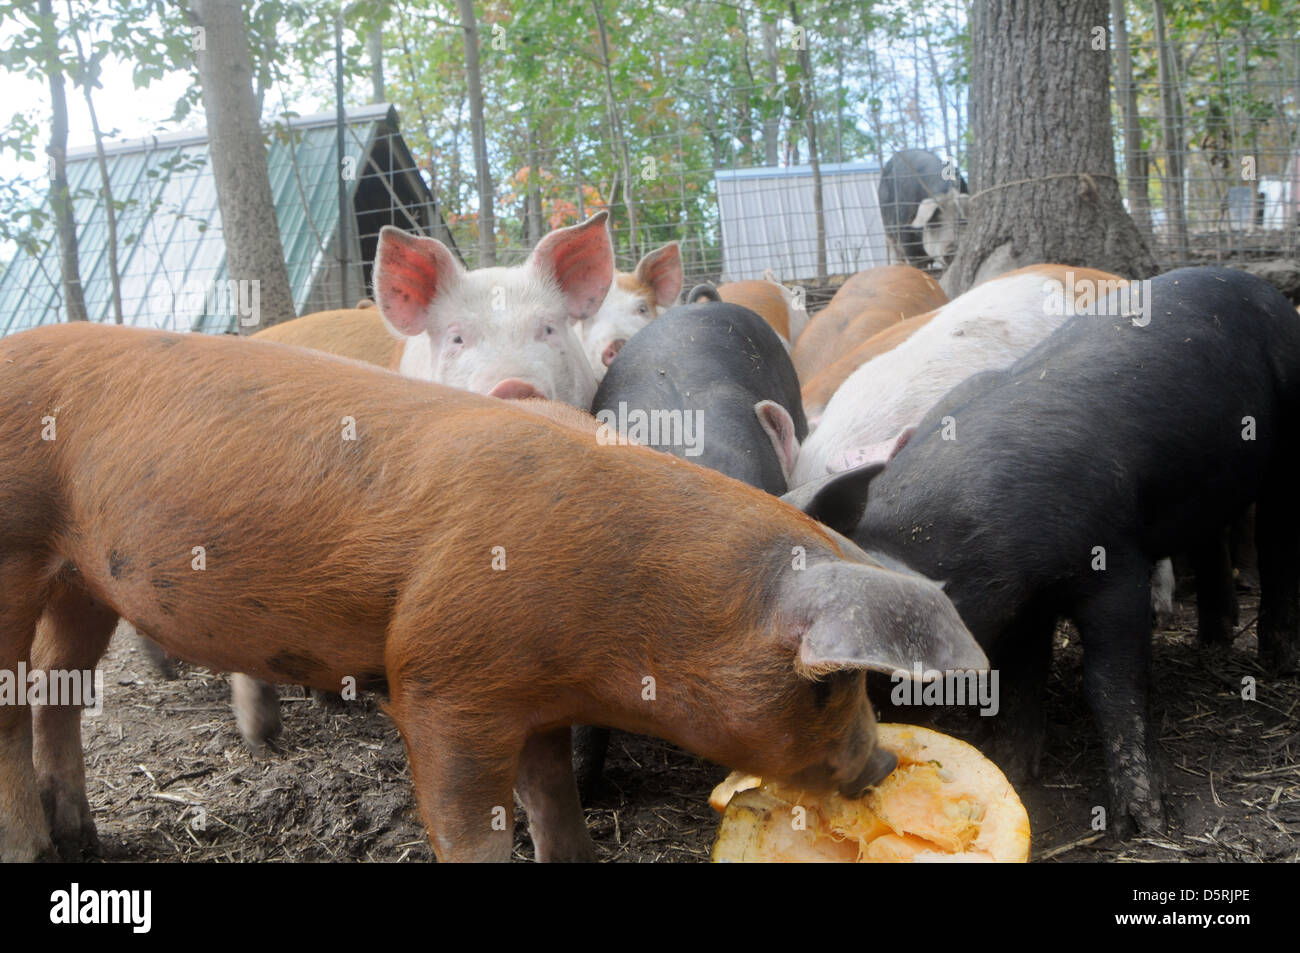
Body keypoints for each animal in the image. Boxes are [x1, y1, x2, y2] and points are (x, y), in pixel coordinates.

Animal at [0, 322, 984, 862]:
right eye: (830, 684)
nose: (882, 762)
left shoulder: (538, 696)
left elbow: (554, 801)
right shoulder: (444, 681)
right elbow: (470, 819)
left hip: (83, 574)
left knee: (57, 688)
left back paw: (85, 840)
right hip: (14, 548)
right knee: (14, 703)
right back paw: (35, 845)